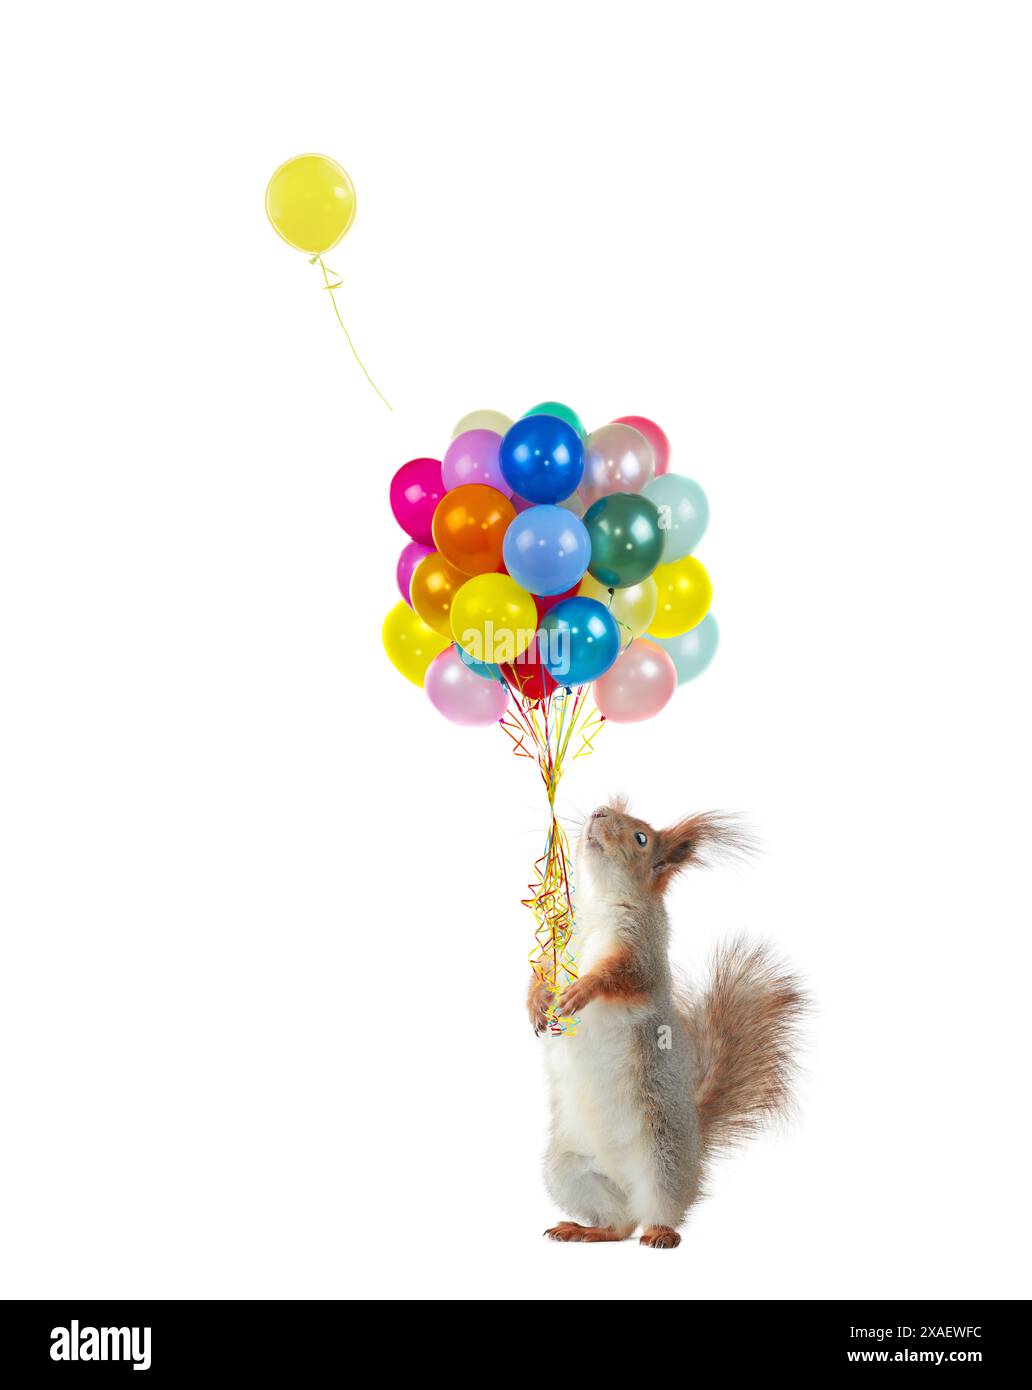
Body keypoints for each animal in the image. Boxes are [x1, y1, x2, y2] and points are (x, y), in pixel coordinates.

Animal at [528, 799, 807, 1249]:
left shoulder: (642, 956)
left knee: (660, 1210)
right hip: (570, 1169)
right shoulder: (562, 947)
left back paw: (660, 1234)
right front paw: (537, 1004)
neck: (602, 902)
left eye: (641, 837)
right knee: (620, 1224)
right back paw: (586, 1229)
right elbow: (540, 972)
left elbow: (617, 978)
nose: (599, 813)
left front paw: (580, 992)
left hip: (662, 1157)